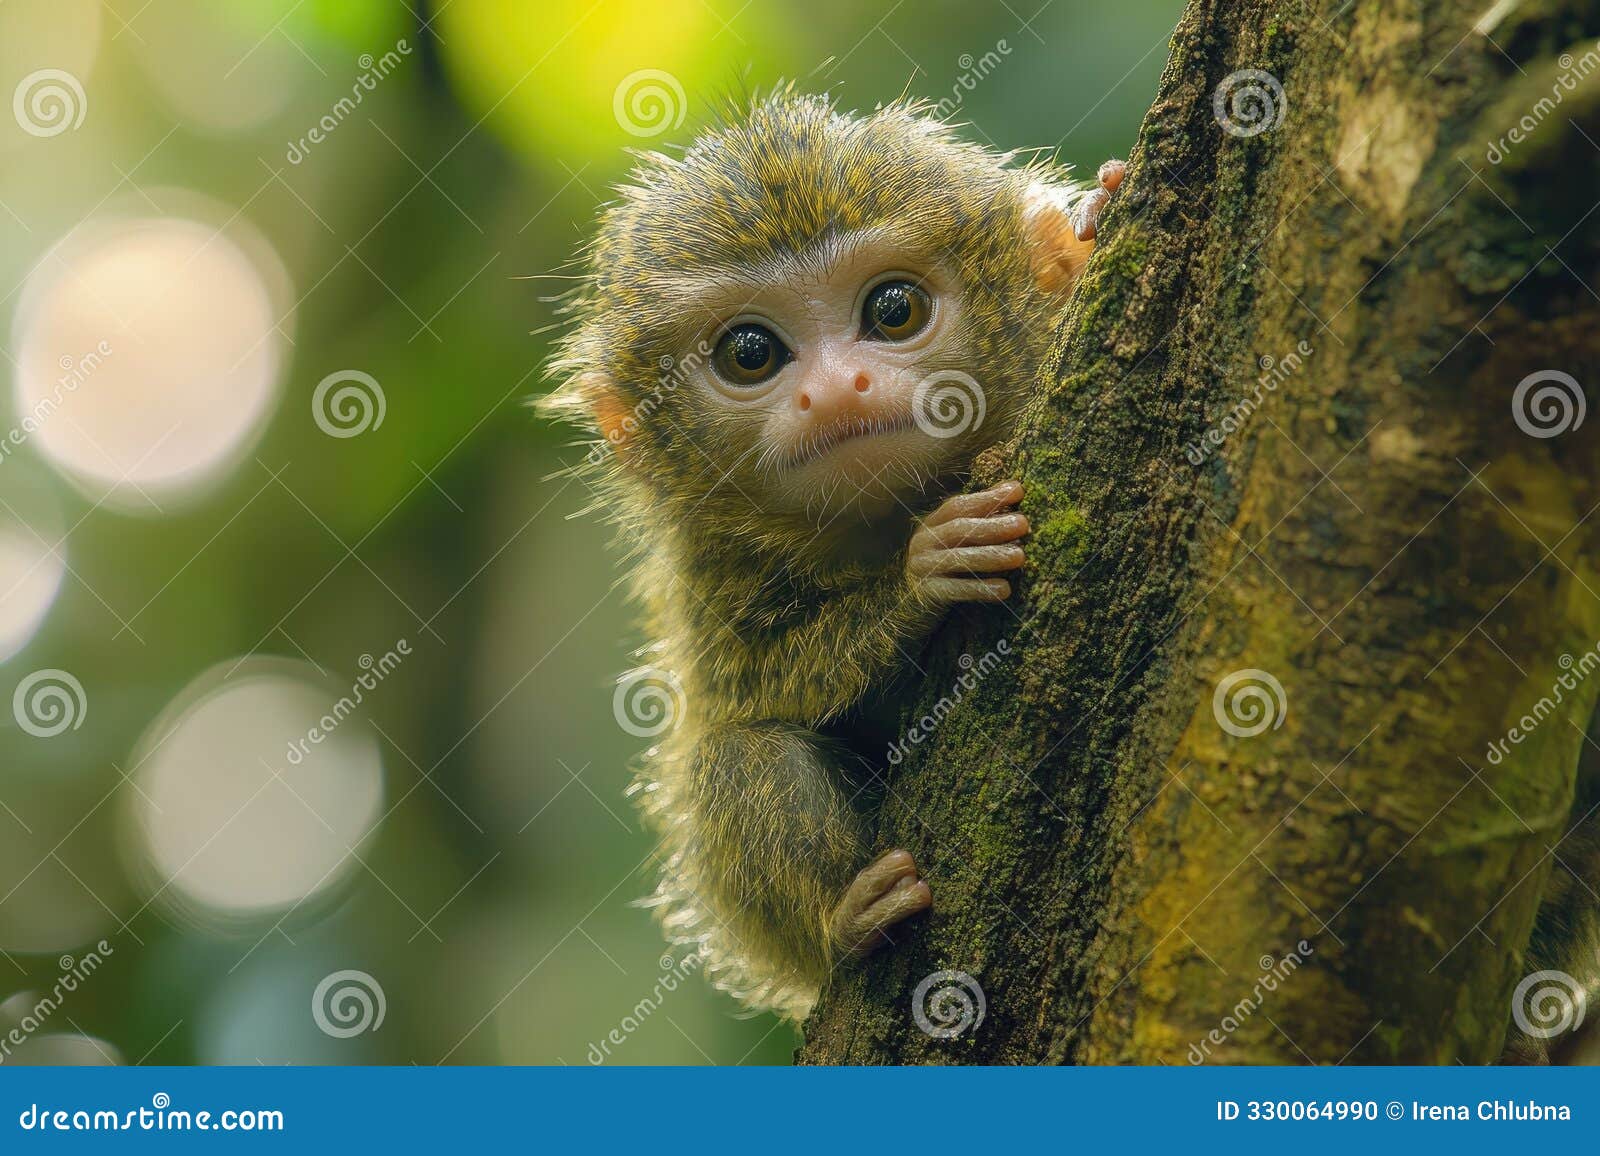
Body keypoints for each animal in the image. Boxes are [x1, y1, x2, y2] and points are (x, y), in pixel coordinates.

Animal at [543, 89, 1123, 1019]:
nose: (836, 390)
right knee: (737, 754)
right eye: (750, 354)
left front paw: (1098, 213)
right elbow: (749, 689)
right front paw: (923, 576)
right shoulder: (710, 567)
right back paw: (846, 921)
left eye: (893, 311)